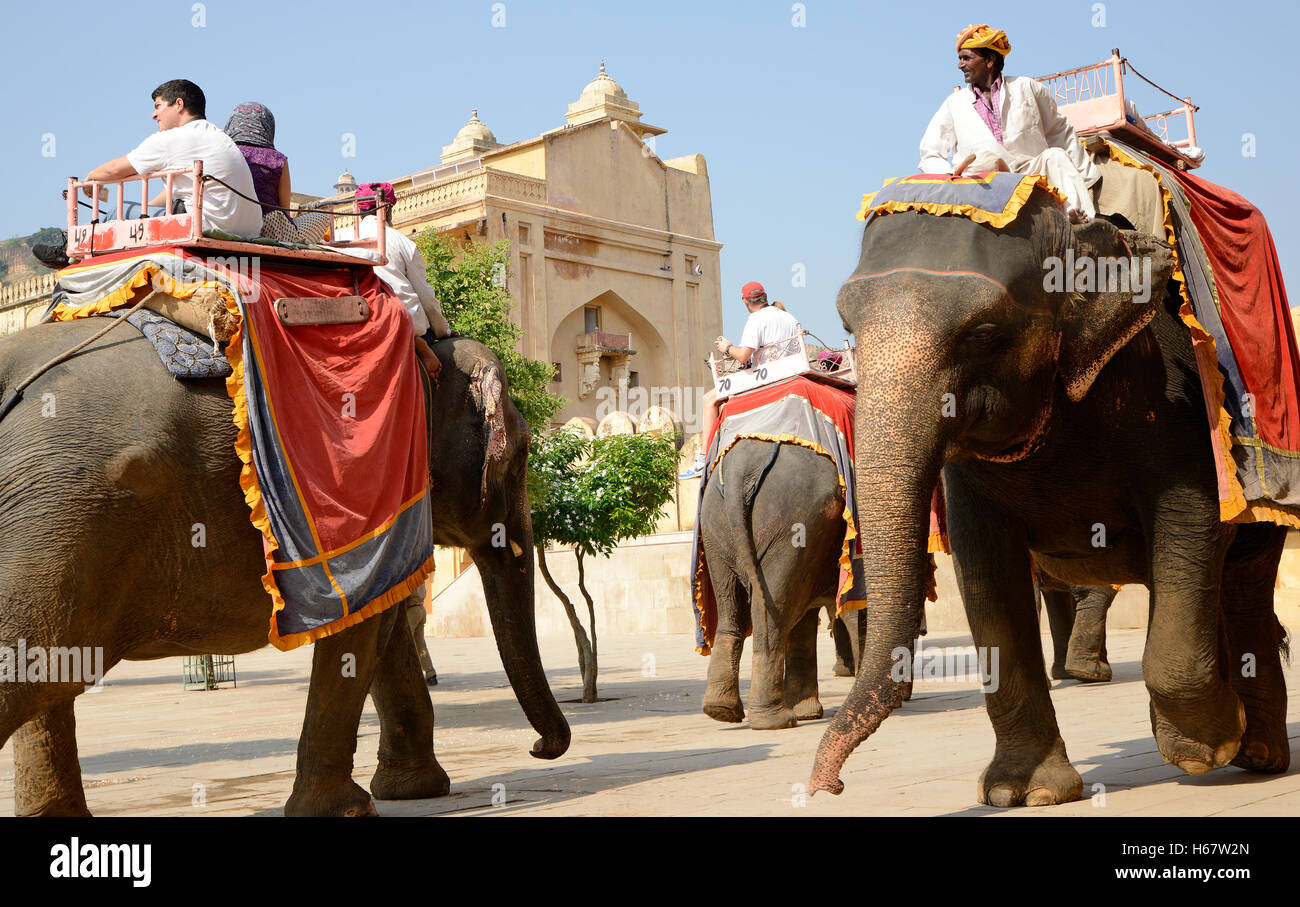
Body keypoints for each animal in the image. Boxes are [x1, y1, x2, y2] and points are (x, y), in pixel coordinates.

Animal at [0, 320, 570, 816]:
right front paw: (350, 809)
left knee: (51, 672)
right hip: (67, 513)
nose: (540, 748)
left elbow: (383, 628)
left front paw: (413, 790)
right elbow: (364, 631)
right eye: (520, 457)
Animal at [810, 191, 1291, 807]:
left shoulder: (1173, 399)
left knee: (1242, 577)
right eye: (847, 326)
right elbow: (987, 575)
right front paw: (1022, 792)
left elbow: (1191, 518)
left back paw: (1255, 754)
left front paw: (1205, 749)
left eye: (982, 332)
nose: (830, 786)